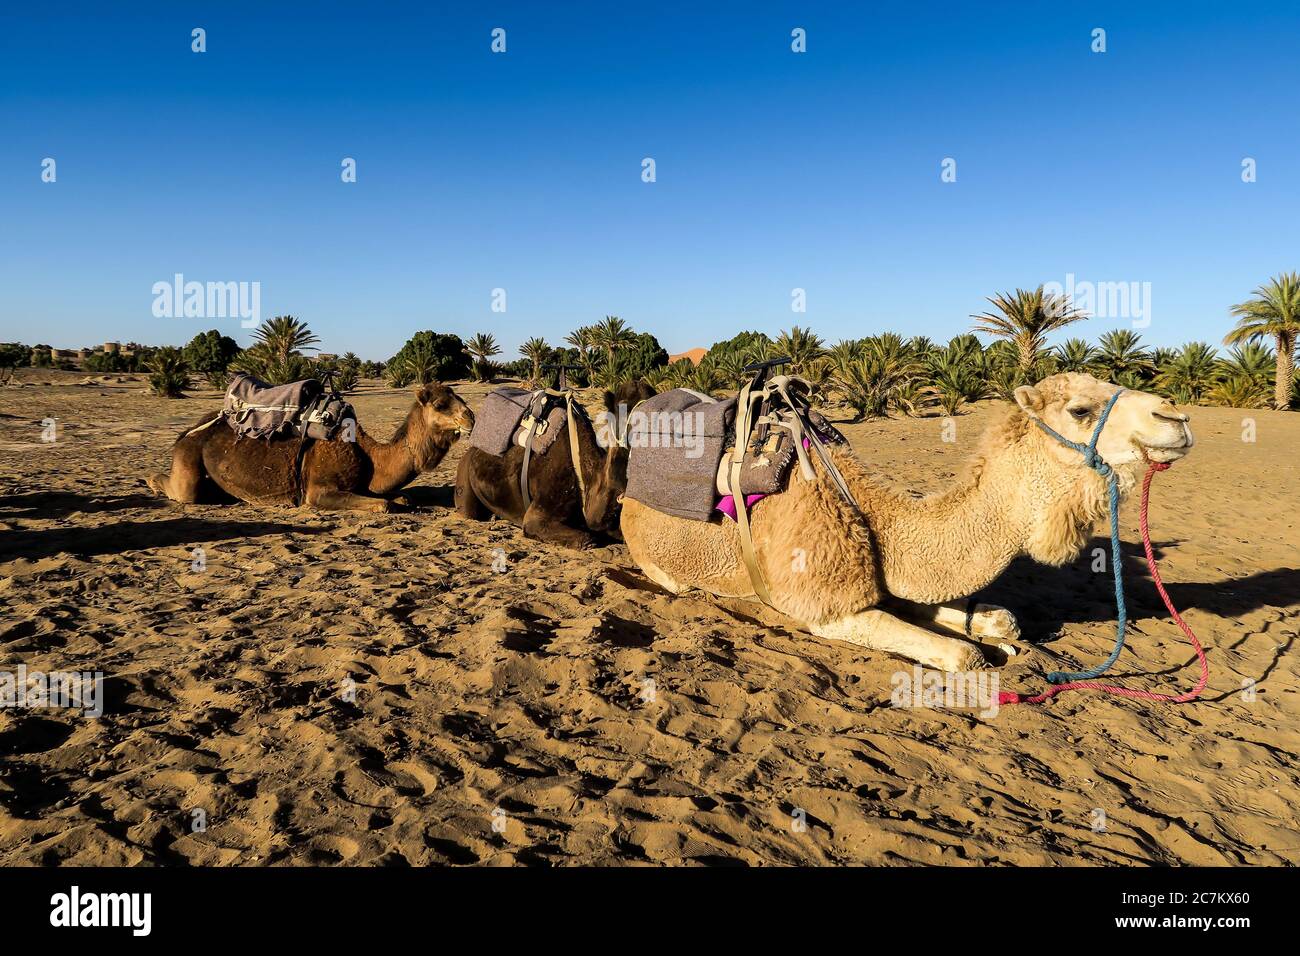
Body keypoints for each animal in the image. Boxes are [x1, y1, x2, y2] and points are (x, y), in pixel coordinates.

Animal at [147, 383, 474, 512]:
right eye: (440, 404)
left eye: (459, 397)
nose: (470, 416)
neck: (369, 455)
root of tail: (185, 433)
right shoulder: (317, 491)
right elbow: (384, 505)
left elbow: (402, 498)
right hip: (189, 459)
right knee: (183, 490)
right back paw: (150, 480)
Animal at [620, 373, 1195, 670]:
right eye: (1079, 409)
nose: (1176, 417)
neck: (873, 515)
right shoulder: (827, 608)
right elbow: (965, 657)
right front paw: (983, 648)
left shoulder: (892, 581)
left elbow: (998, 619)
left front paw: (999, 634)